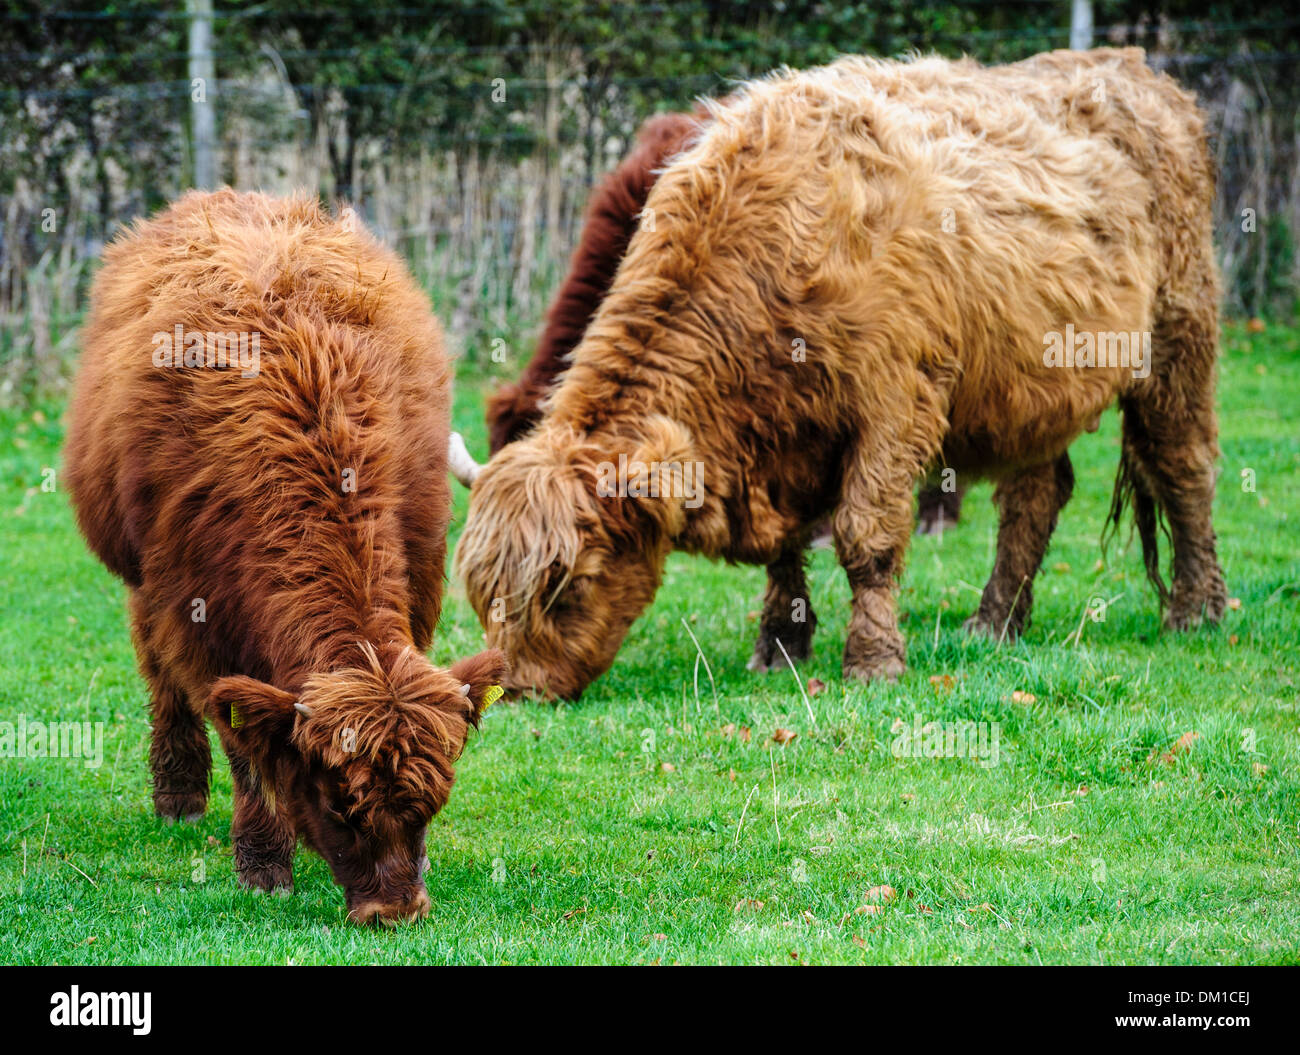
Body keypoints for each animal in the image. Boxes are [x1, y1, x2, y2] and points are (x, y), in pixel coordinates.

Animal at [65, 189, 505, 924]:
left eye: (429, 805)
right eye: (340, 806)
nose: (395, 912)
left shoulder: (419, 578)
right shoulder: (199, 615)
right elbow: (245, 743)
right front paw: (264, 861)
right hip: (140, 575)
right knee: (158, 671)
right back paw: (179, 793)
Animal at [451, 49, 1227, 700]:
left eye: (573, 584)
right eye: (484, 594)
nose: (519, 689)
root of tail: (1140, 74)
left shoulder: (896, 404)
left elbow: (866, 538)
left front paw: (874, 659)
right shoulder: (781, 440)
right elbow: (783, 548)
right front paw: (780, 644)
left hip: (1180, 337)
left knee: (1183, 466)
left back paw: (1196, 612)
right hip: (1031, 390)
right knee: (1037, 494)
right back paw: (996, 622)